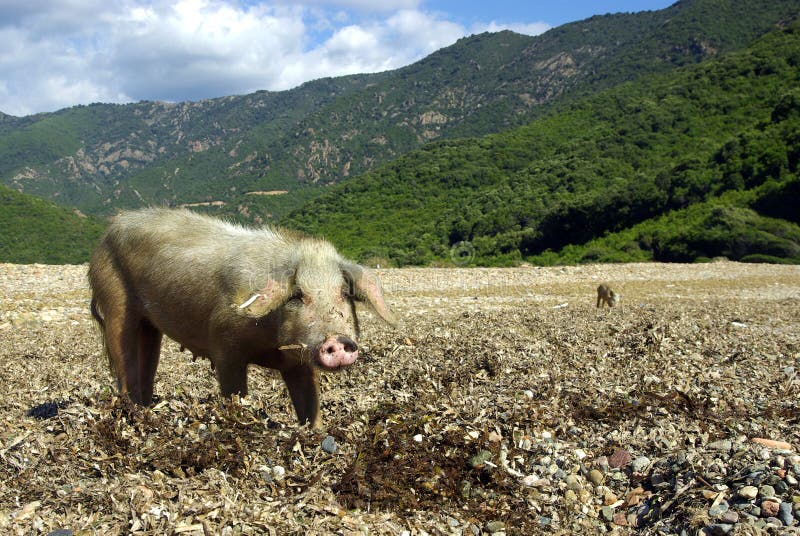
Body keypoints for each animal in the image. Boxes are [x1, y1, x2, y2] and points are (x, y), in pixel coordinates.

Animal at [88, 208, 395, 428]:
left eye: (343, 293)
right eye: (297, 294)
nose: (338, 340)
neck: (270, 344)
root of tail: (112, 226)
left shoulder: (298, 362)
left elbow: (310, 404)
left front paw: (317, 434)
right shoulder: (224, 346)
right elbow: (235, 391)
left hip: (150, 324)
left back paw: (147, 410)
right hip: (114, 299)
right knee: (123, 361)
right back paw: (134, 415)